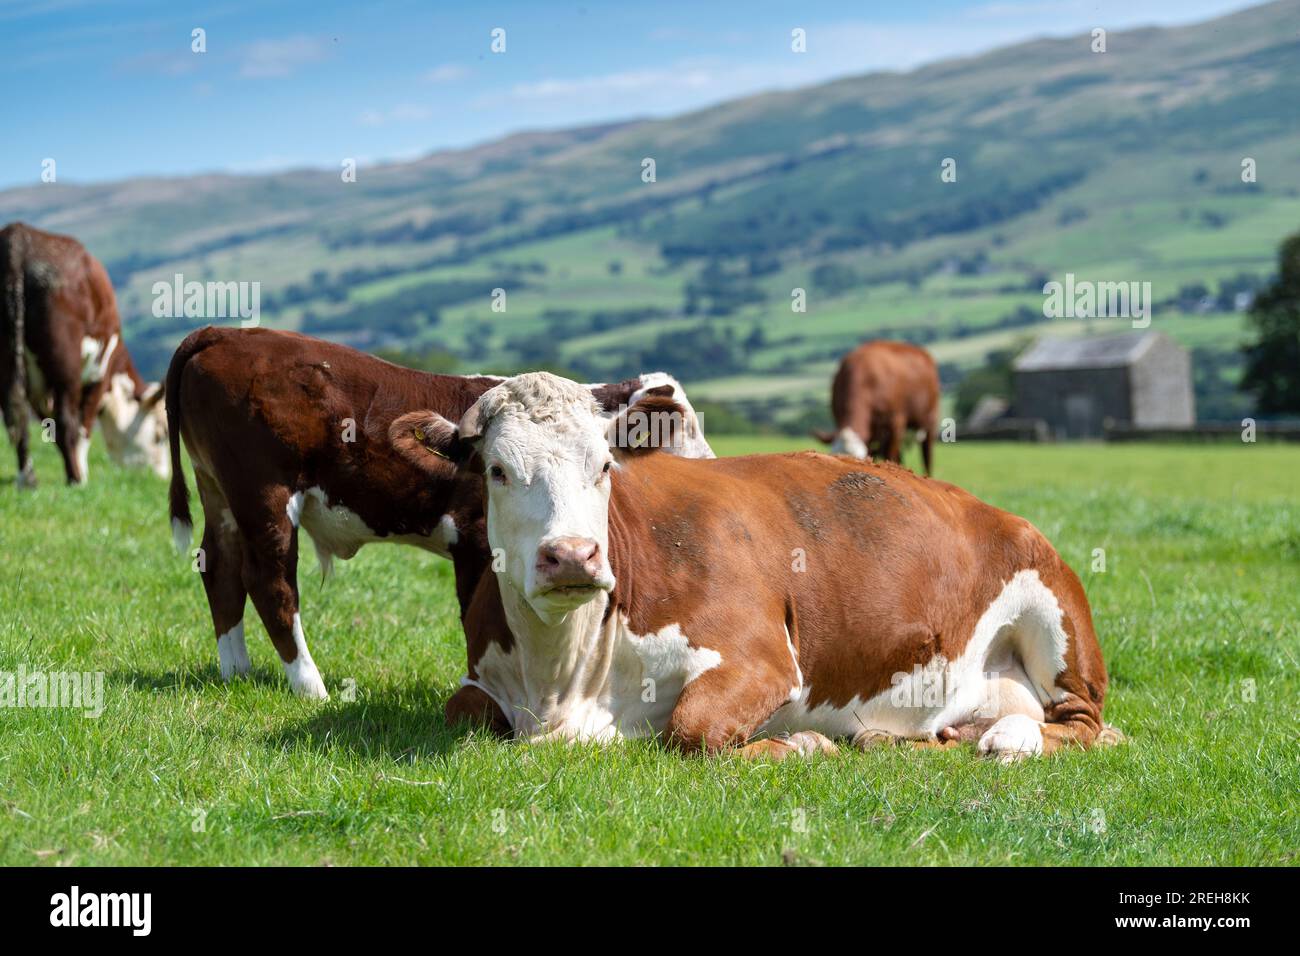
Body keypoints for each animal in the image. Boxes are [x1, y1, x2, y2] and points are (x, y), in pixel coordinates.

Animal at [1, 222, 169, 487]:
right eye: (160, 435)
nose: (162, 476)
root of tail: (17, 235)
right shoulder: (99, 372)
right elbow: (84, 425)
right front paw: (81, 472)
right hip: (65, 364)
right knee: (66, 423)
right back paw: (75, 479)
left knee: (19, 420)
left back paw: (26, 478)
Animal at [165, 326, 713, 699]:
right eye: (676, 429)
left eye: (601, 462)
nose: (710, 468)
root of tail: (226, 332)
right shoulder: (475, 543)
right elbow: (477, 616)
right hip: (264, 496)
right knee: (270, 582)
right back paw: (310, 685)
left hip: (219, 491)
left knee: (220, 569)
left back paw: (236, 671)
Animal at [394, 372, 1119, 761]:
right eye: (497, 470)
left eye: (602, 466)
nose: (572, 554)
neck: (561, 678)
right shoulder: (483, 678)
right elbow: (463, 711)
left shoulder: (762, 657)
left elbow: (692, 727)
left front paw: (798, 744)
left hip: (1055, 619)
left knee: (1088, 726)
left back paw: (1012, 738)